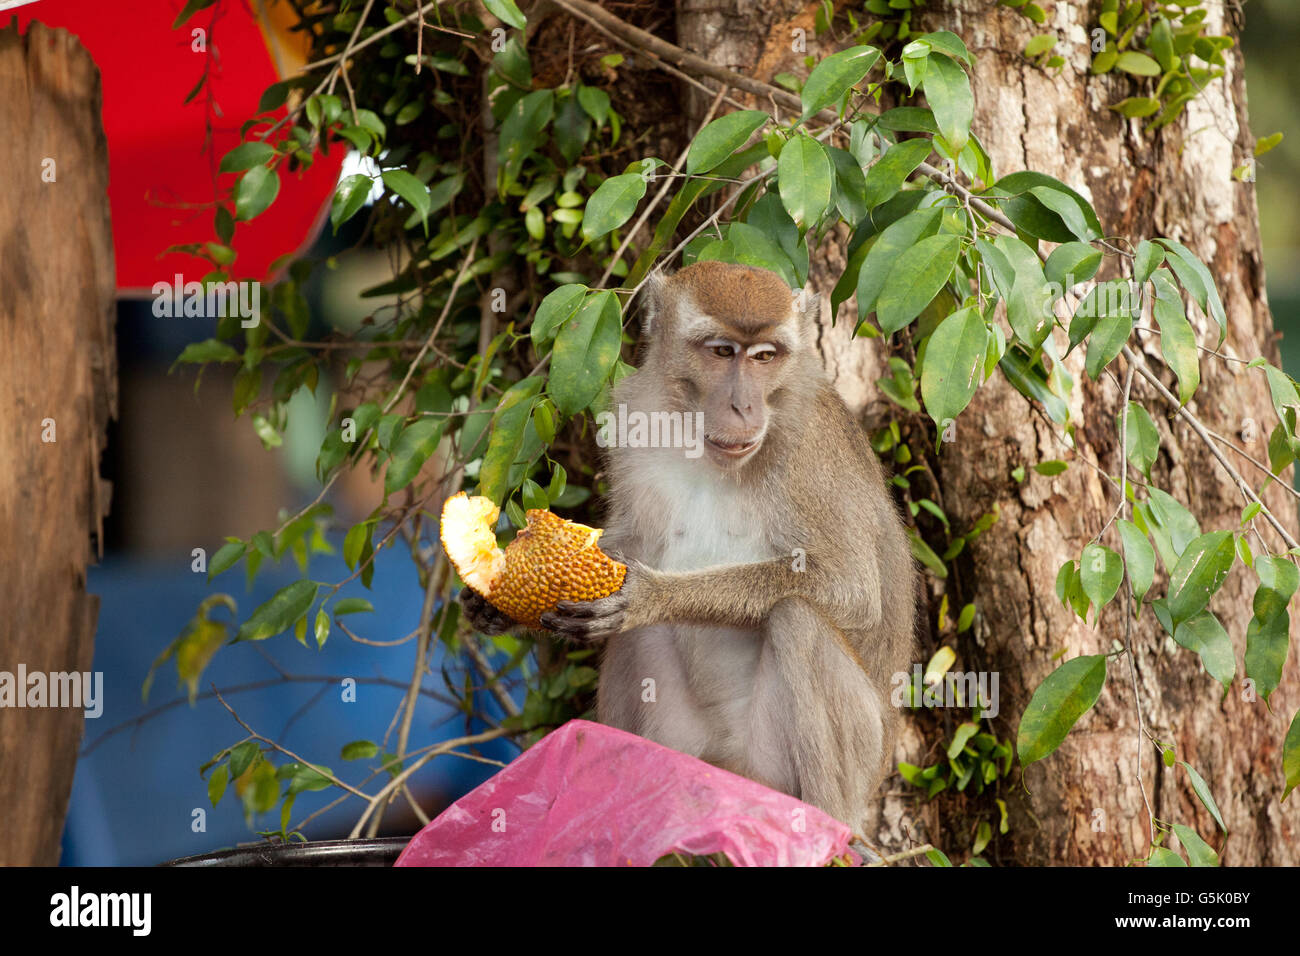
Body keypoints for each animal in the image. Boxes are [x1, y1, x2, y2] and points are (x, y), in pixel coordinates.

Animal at [461, 260, 916, 835]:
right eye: (721, 351)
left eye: (765, 356)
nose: (743, 405)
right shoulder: (634, 412)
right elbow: (627, 541)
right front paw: (495, 602)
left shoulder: (813, 449)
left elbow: (849, 587)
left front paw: (651, 595)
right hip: (694, 750)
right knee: (635, 641)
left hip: (845, 759)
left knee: (797, 619)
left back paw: (822, 828)